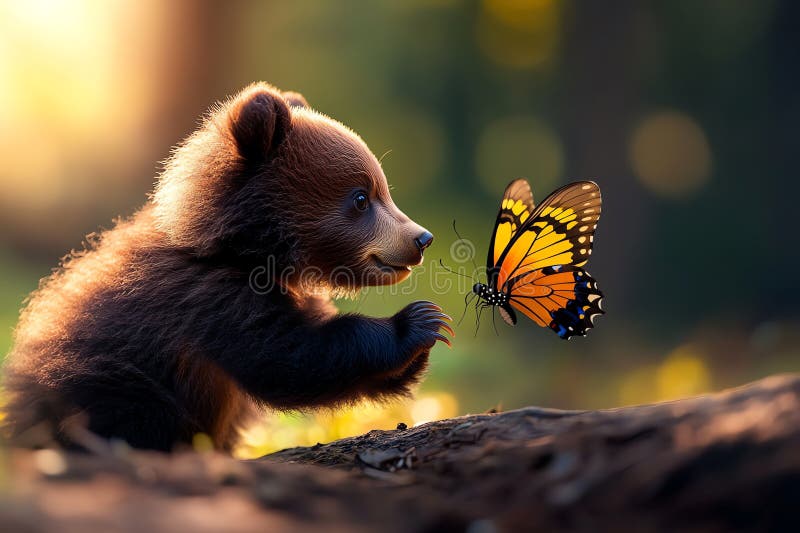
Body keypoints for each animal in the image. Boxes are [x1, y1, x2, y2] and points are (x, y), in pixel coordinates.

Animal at [1, 82, 453, 452]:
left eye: (384, 189)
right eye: (361, 197)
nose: (421, 239)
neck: (245, 249)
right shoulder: (210, 297)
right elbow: (287, 355)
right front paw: (419, 321)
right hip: (98, 379)